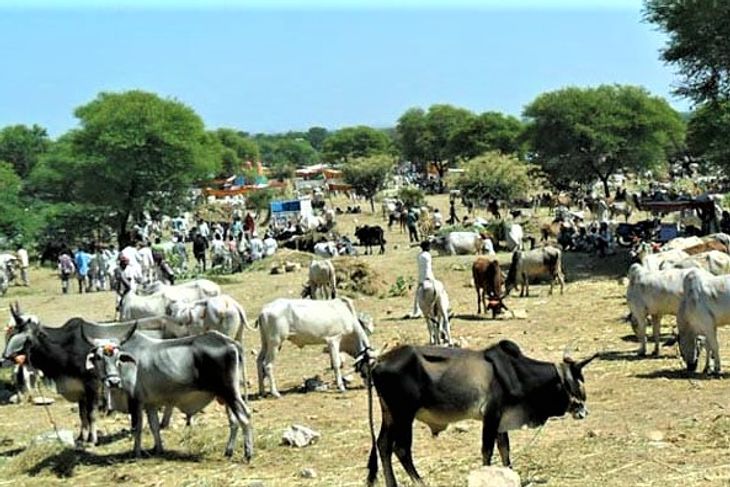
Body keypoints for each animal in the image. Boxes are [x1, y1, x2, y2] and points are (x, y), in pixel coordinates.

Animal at [82, 325, 253, 459]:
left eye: (118, 357)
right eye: (98, 357)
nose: (113, 382)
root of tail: (231, 343)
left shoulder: (135, 401)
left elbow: (137, 428)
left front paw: (136, 453)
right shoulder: (150, 404)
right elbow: (154, 426)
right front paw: (158, 449)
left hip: (230, 393)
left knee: (244, 417)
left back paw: (248, 453)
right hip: (226, 395)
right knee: (234, 421)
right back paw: (228, 451)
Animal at [357, 340, 598, 487]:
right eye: (578, 386)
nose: (583, 412)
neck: (517, 372)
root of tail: (378, 361)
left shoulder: (501, 419)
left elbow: (504, 450)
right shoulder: (491, 416)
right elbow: (487, 451)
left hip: (389, 414)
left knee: (383, 445)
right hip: (404, 414)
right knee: (401, 449)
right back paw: (420, 482)